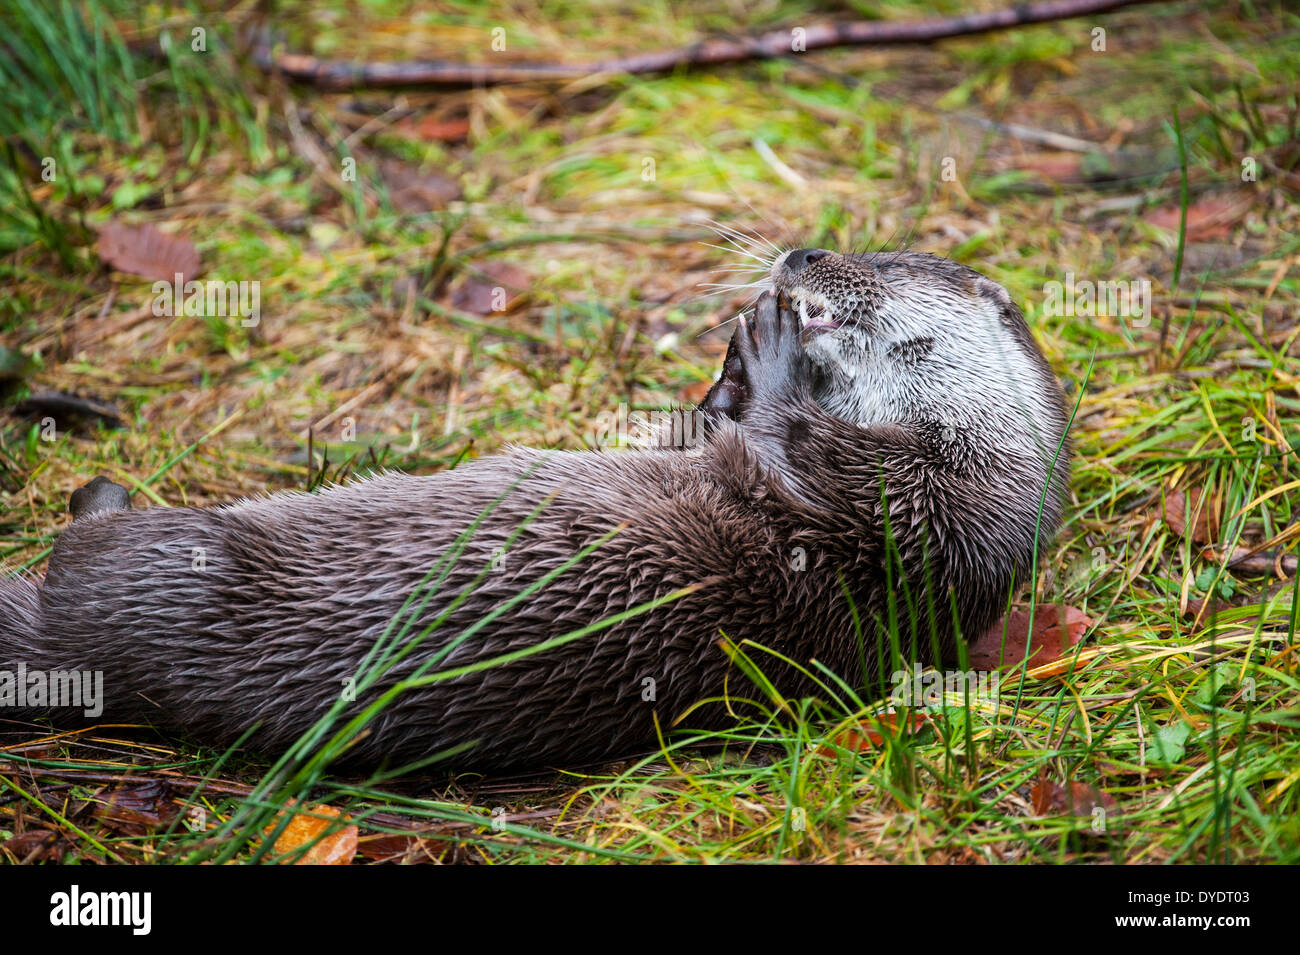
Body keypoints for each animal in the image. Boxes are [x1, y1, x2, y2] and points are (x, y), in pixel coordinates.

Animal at [0, 249, 1071, 772]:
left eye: (881, 262)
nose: (801, 253)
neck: (968, 469)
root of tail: (71, 651)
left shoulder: (895, 499)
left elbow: (780, 440)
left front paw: (765, 346)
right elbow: (707, 430)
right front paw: (723, 370)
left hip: (167, 557)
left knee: (80, 539)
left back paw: (96, 492)